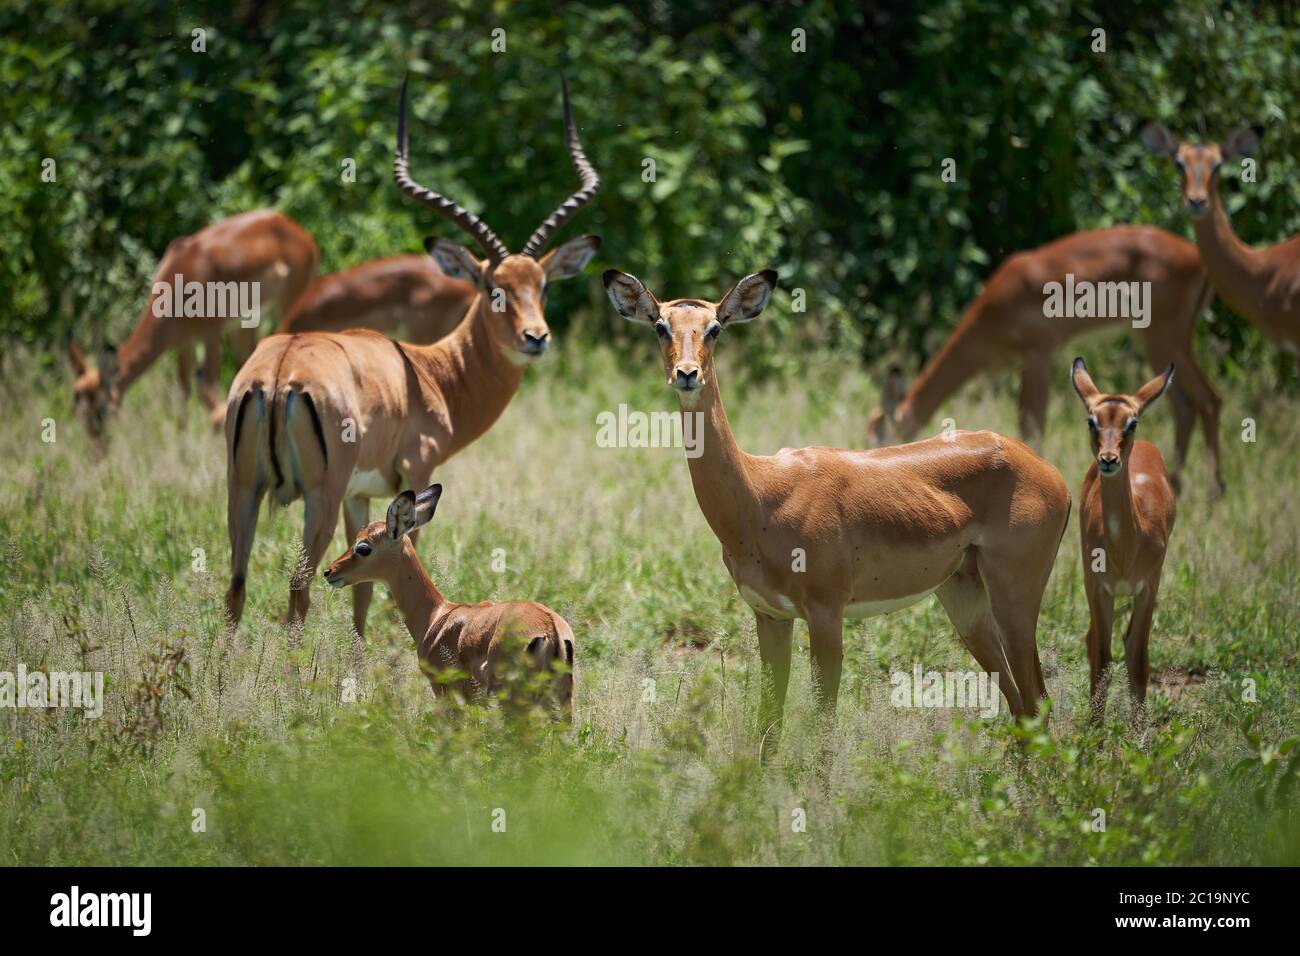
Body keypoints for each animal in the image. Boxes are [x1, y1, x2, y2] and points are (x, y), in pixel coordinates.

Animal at [68, 210, 318, 441]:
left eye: (101, 410)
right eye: (78, 414)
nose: (98, 450)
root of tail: (298, 231)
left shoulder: (212, 332)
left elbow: (210, 382)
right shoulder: (183, 343)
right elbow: (184, 392)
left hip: (289, 304)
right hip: (244, 326)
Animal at [603, 268, 1072, 743]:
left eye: (714, 328)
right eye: (660, 326)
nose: (687, 373)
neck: (761, 495)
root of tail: (1048, 471)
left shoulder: (826, 614)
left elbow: (823, 725)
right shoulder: (770, 615)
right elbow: (769, 722)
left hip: (1014, 598)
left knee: (1038, 699)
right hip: (965, 600)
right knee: (1021, 707)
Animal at [865, 227, 1223, 496]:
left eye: (881, 439)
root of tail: (1198, 258)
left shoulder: (1039, 356)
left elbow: (1032, 423)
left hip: (1165, 338)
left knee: (1209, 398)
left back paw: (1214, 491)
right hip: (1154, 344)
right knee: (1183, 407)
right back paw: (1176, 486)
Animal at [1071, 357, 1176, 728]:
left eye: (1132, 422)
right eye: (1091, 420)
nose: (1108, 459)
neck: (1123, 551)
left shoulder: (1149, 586)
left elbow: (1139, 659)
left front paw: (1140, 736)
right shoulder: (1097, 586)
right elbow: (1103, 659)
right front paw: (1095, 735)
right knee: (1093, 642)